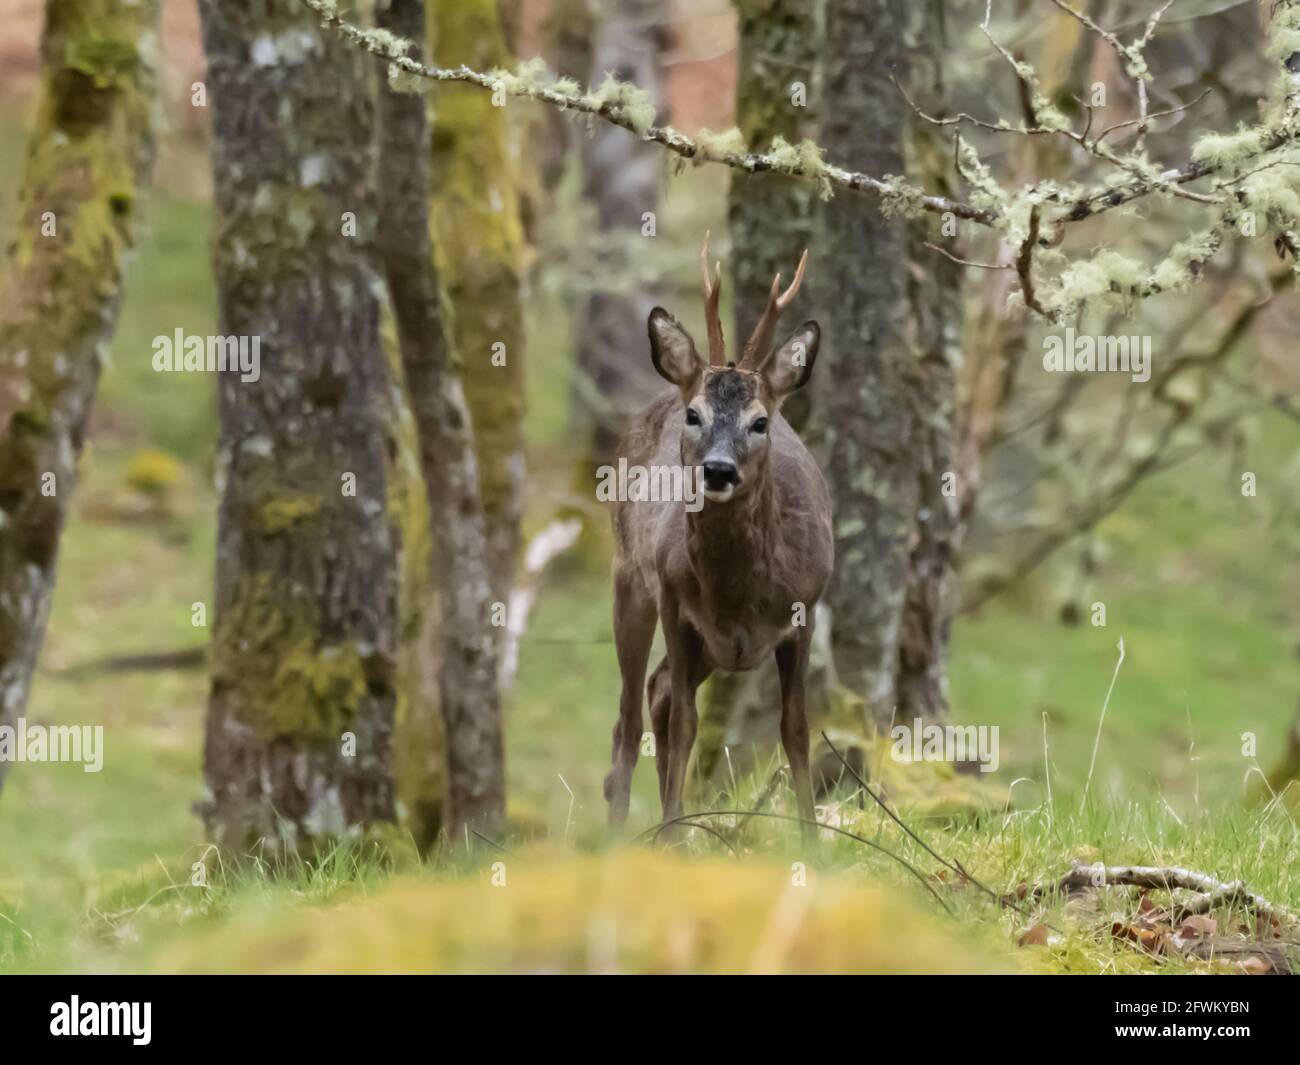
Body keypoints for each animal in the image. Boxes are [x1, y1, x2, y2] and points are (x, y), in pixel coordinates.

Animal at [603, 236, 833, 842]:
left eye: (760, 422)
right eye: (695, 414)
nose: (719, 469)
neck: (739, 594)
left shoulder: (806, 609)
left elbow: (795, 728)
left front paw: (812, 838)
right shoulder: (676, 603)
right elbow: (686, 723)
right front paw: (668, 834)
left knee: (655, 692)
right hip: (628, 578)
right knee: (631, 715)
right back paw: (627, 831)